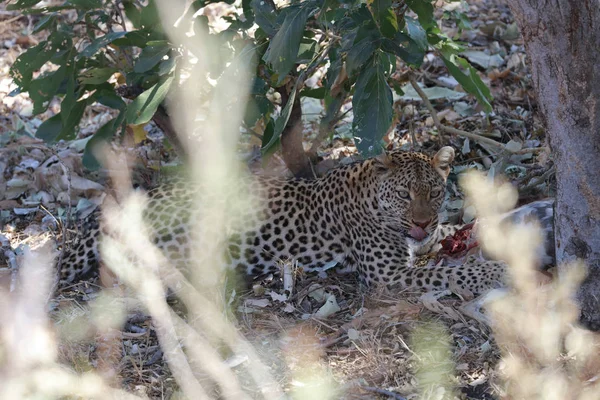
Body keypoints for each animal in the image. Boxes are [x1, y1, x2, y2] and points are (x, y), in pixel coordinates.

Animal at [58, 145, 506, 296]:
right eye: (404, 195)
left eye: (433, 193)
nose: (422, 223)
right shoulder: (388, 274)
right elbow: (449, 273)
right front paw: (492, 274)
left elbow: (453, 234)